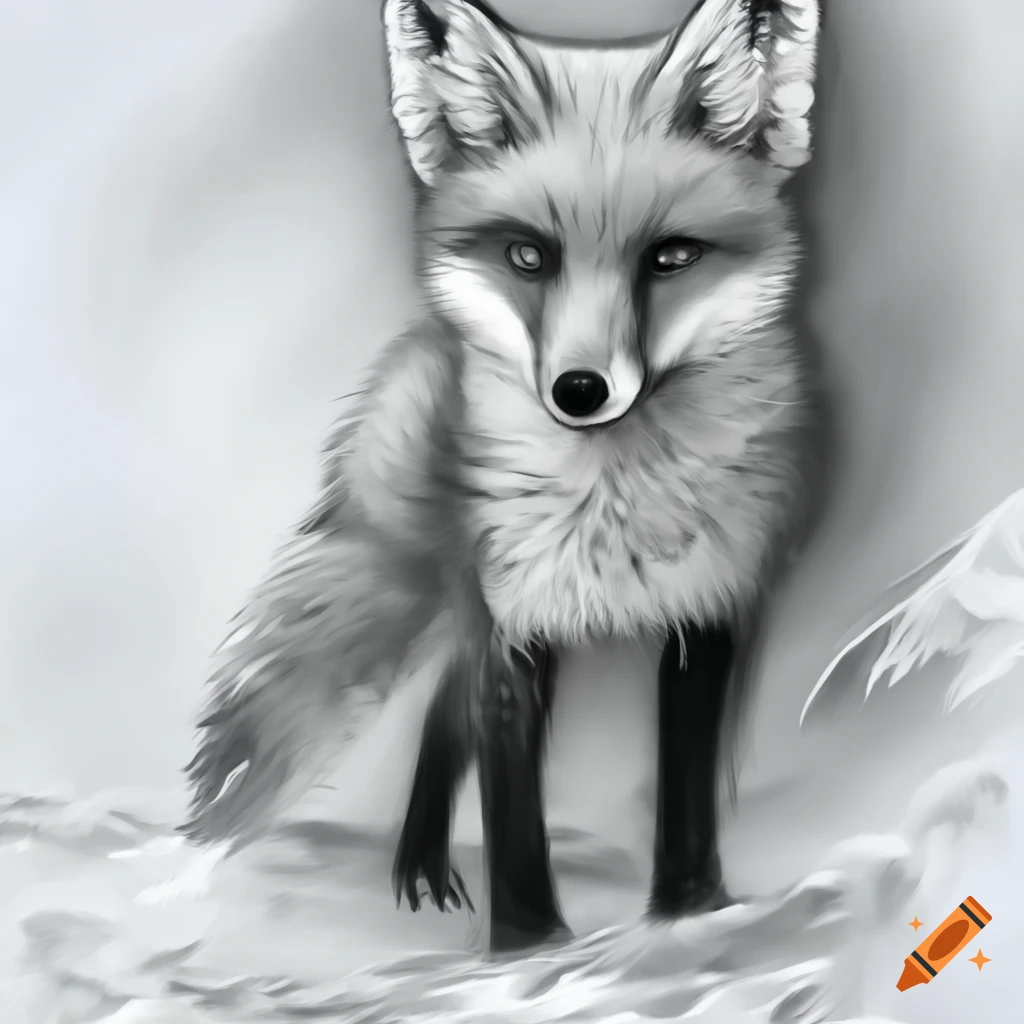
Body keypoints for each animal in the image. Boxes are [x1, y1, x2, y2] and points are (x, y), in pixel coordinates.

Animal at [181, 0, 822, 954]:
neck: (612, 505)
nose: (581, 390)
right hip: (460, 599)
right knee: (445, 718)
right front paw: (527, 945)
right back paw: (418, 869)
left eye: (670, 258)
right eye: (528, 257)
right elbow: (512, 803)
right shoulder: (510, 633)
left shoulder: (708, 612)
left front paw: (691, 913)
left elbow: (686, 783)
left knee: (441, 711)